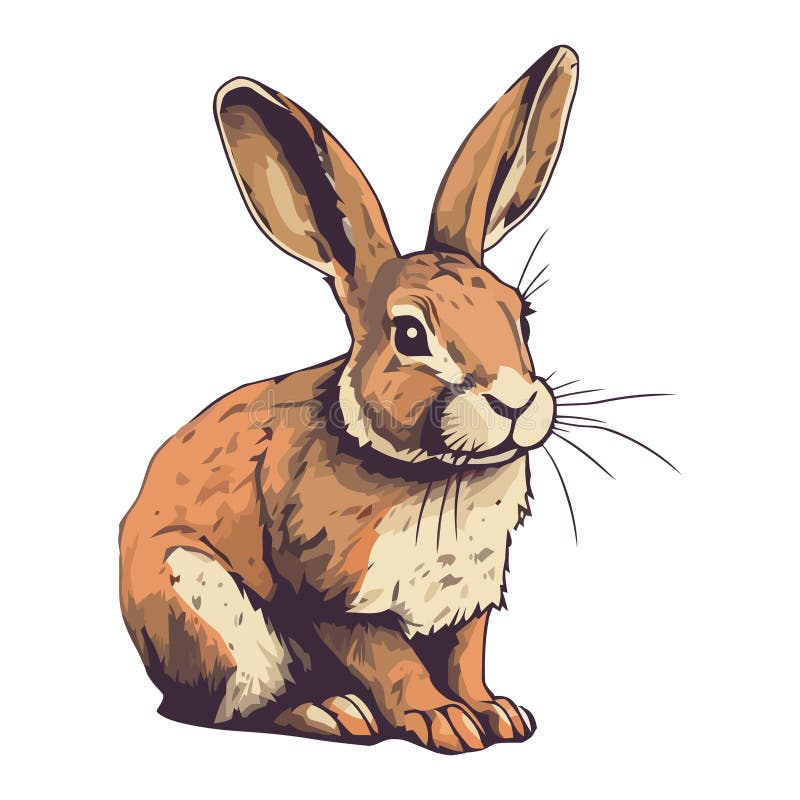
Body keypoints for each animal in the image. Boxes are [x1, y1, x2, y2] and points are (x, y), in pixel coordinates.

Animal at [119, 44, 579, 753]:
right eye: (409, 334)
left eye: (521, 317)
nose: (513, 403)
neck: (435, 474)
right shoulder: (340, 601)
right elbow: (391, 664)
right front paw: (447, 724)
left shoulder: (470, 604)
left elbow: (466, 659)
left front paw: (498, 715)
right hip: (212, 617)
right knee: (229, 707)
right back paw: (331, 712)